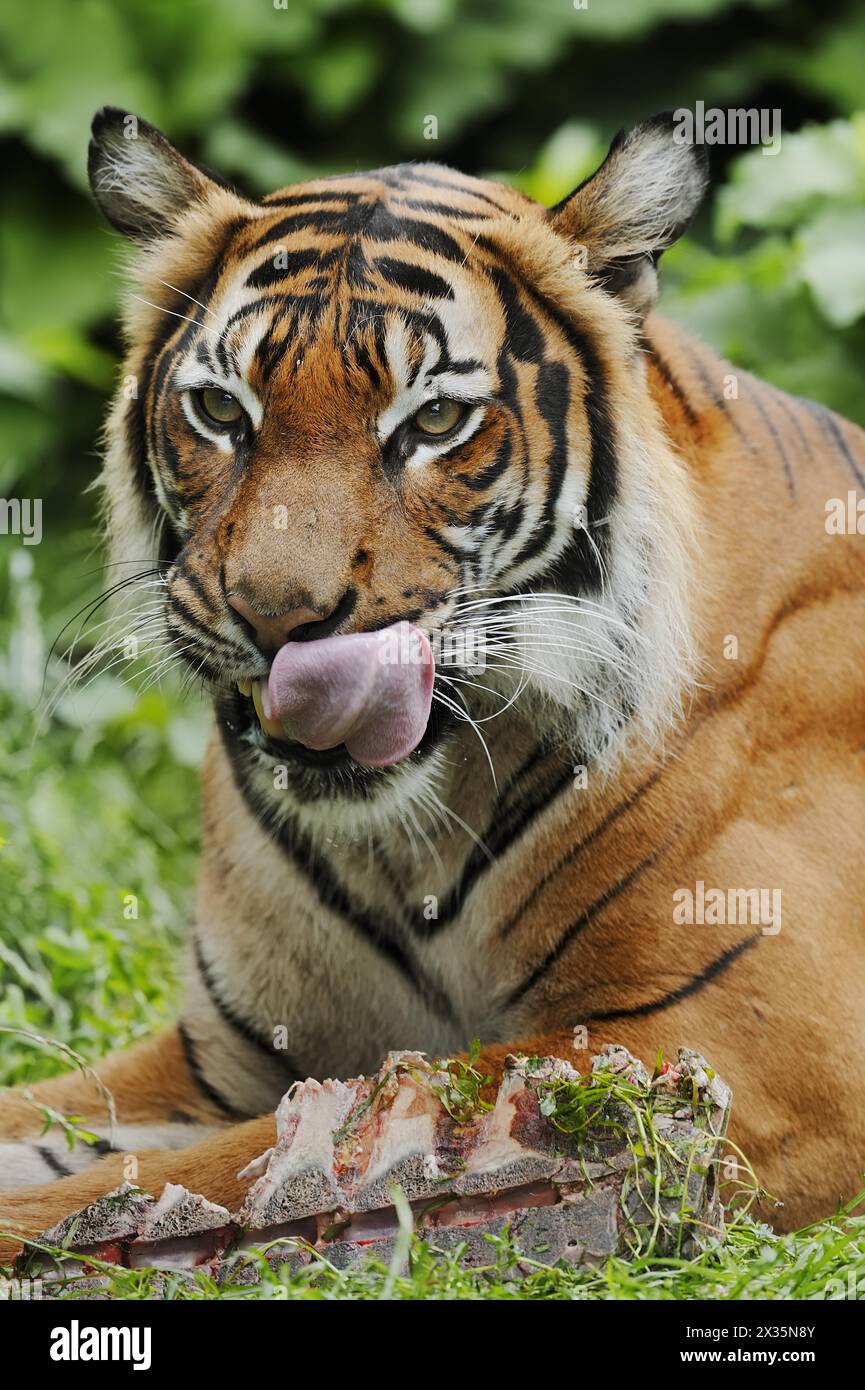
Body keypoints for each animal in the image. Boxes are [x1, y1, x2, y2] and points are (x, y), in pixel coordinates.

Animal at [1, 105, 864, 1260]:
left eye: (435, 422)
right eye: (221, 410)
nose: (277, 617)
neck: (403, 840)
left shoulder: (734, 1051)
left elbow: (183, 1178)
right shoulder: (222, 1059)